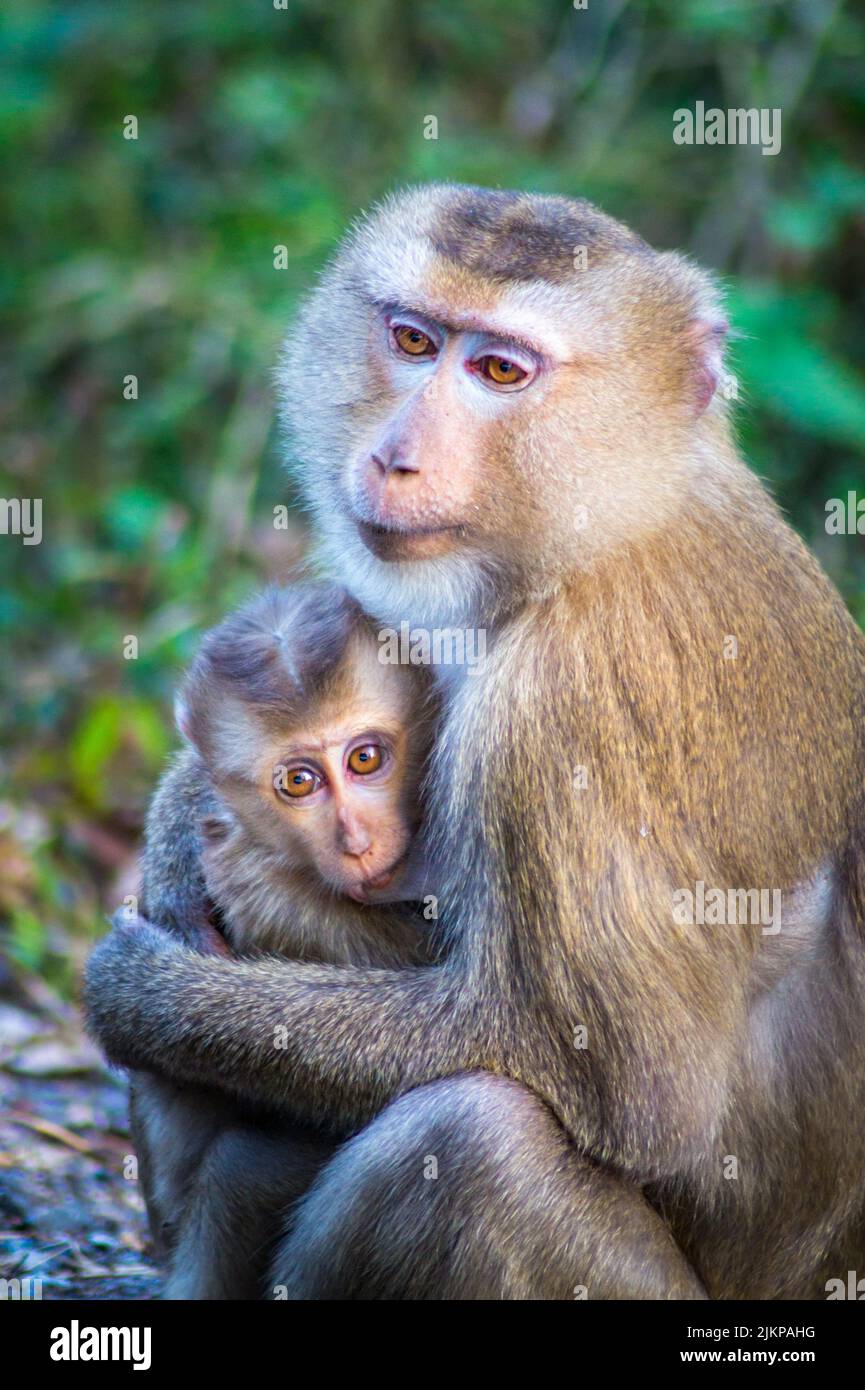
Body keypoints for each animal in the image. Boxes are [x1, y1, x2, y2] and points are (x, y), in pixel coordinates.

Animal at [86, 183, 865, 1300]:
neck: (602, 528)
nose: (395, 455)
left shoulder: (568, 706)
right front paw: (182, 829)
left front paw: (153, 995)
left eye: (500, 371)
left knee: (471, 1142)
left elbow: (622, 1085)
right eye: (413, 340)